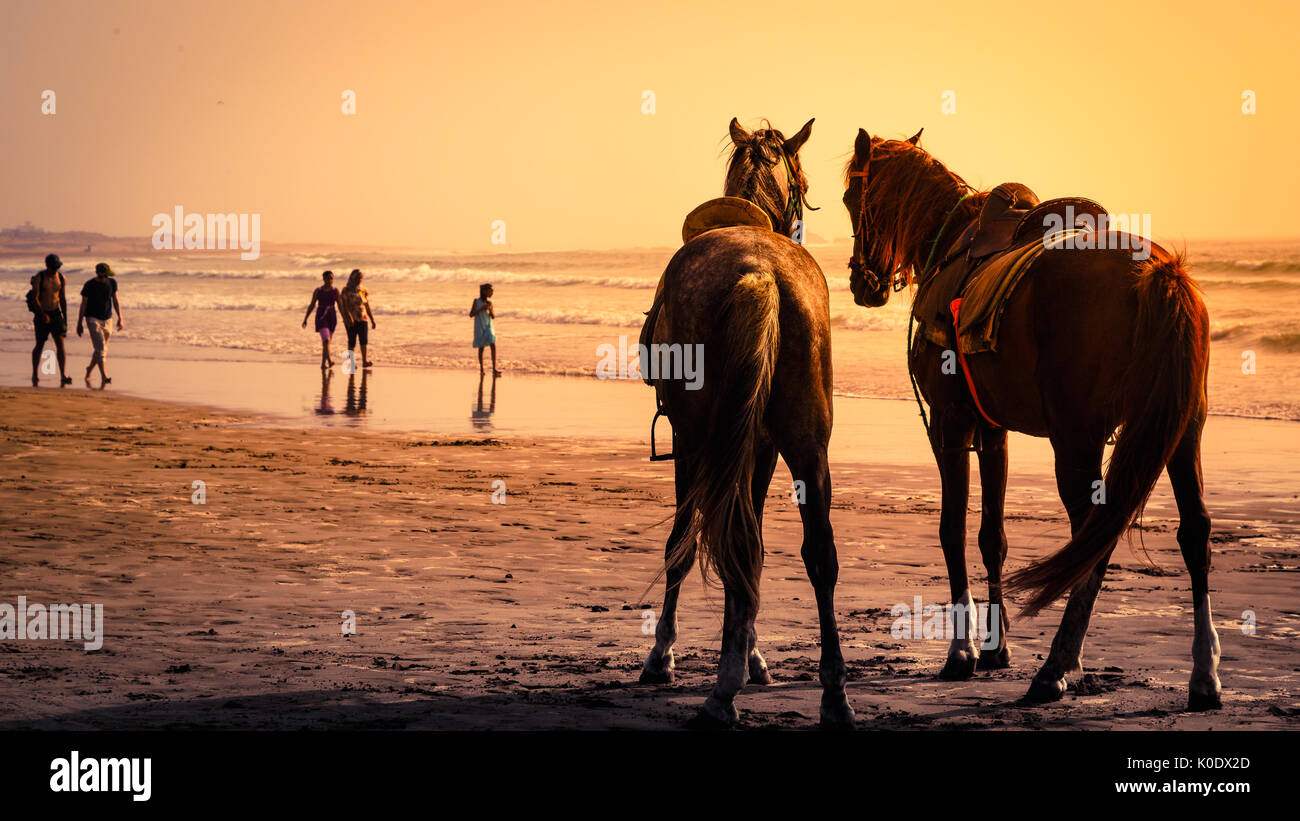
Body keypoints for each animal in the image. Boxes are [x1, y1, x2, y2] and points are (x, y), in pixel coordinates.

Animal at [638, 117, 855, 728]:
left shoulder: (695, 445)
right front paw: (749, 654)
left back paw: (723, 688)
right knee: (818, 554)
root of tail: (762, 274)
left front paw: (663, 656)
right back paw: (831, 694)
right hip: (805, 444)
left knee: (718, 539)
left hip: (703, 440)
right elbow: (750, 546)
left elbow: (683, 544)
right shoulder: (760, 449)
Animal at [840, 127, 1221, 710]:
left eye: (849, 198)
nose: (864, 285)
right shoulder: (992, 432)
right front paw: (995, 648)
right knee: (1193, 533)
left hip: (1077, 440)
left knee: (1094, 538)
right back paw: (1203, 674)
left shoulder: (950, 424)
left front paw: (962, 652)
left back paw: (1057, 666)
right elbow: (991, 536)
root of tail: (1157, 271)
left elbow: (953, 530)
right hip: (1182, 431)